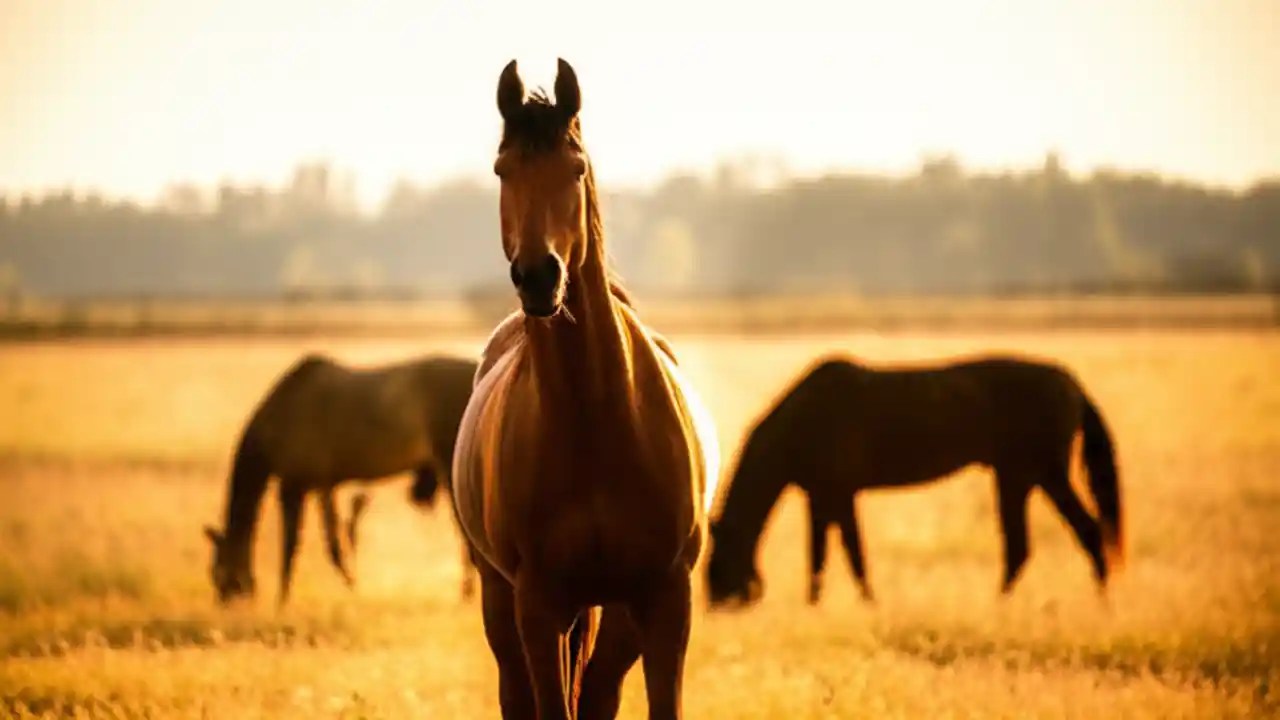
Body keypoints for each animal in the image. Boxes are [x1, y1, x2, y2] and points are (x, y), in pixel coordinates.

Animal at [202, 352, 481, 606]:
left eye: (217, 571)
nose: (224, 604)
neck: (283, 415)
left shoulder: (292, 488)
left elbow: (292, 546)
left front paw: (283, 602)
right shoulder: (323, 486)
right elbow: (333, 544)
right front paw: (351, 586)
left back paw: (467, 593)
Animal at [451, 59, 720, 720]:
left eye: (575, 168)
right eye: (502, 169)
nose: (539, 276)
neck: (596, 418)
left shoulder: (664, 599)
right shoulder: (539, 605)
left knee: (598, 693)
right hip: (502, 602)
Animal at [706, 354, 1124, 608]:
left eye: (719, 555)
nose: (715, 602)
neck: (802, 422)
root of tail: (1073, 386)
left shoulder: (839, 493)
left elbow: (852, 555)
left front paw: (869, 605)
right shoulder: (819, 496)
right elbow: (820, 558)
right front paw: (816, 607)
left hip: (1040, 474)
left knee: (1083, 533)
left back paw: (1099, 606)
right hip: (1018, 476)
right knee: (1025, 547)